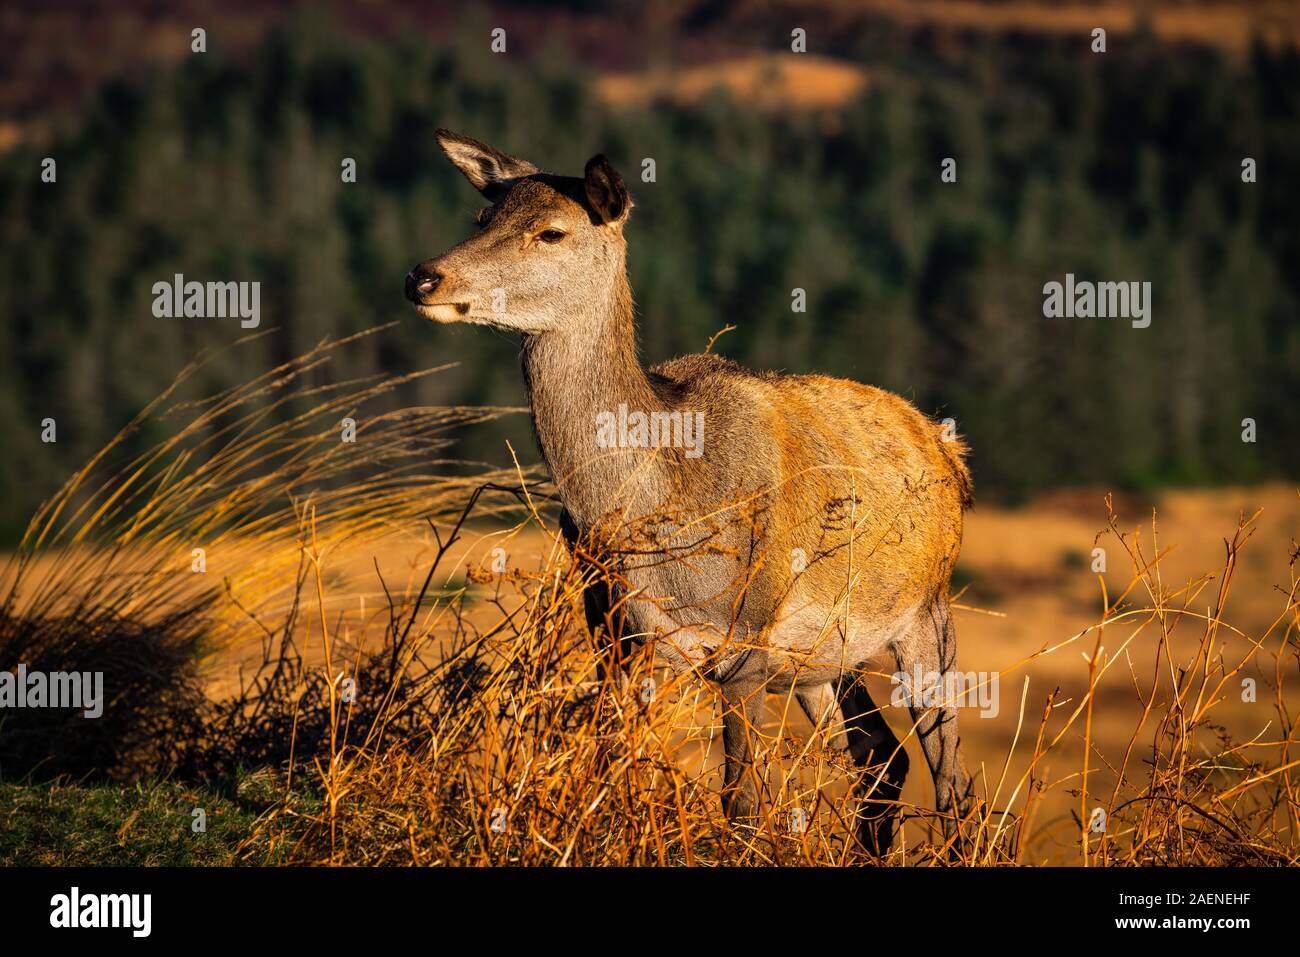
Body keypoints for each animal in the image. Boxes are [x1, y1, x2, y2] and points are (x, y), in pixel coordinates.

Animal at [406, 129, 976, 855]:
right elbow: (607, 773)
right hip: (824, 657)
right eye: (482, 217)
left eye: (551, 231)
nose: (423, 276)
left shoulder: (746, 641)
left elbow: (740, 802)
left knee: (949, 774)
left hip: (927, 611)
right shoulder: (616, 636)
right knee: (880, 754)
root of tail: (948, 448)